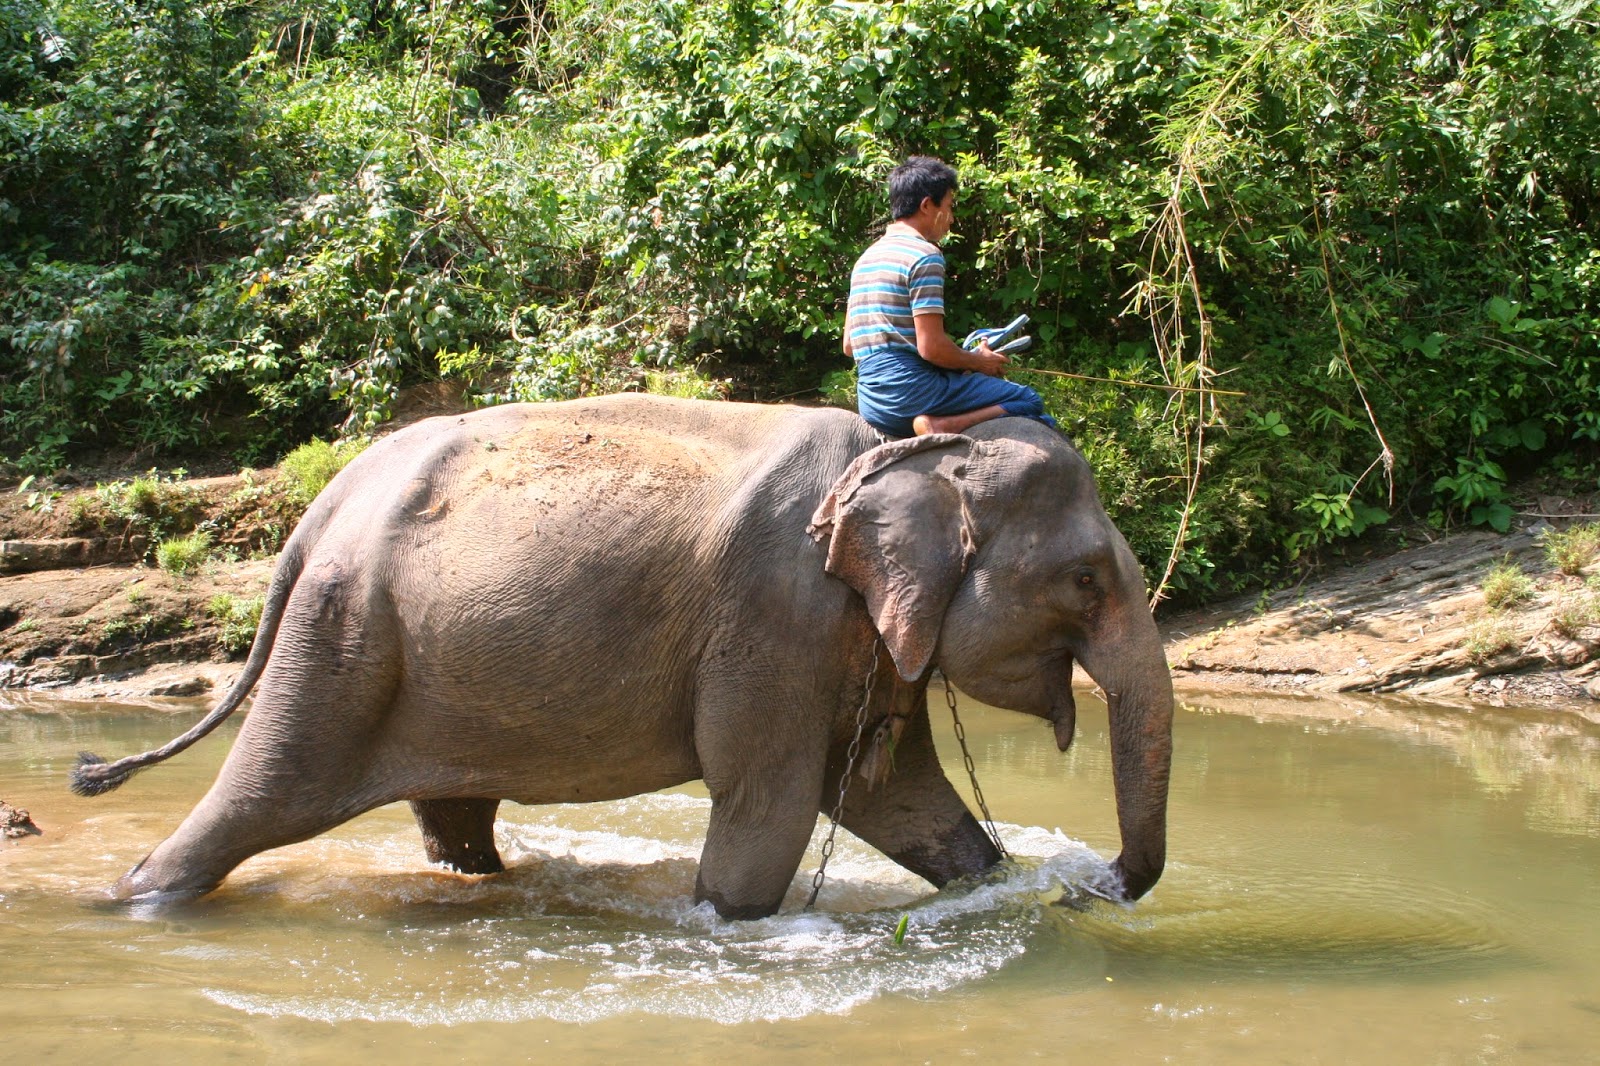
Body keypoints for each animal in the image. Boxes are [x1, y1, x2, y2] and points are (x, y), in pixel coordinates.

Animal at [72, 394, 1174, 919]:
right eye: (1085, 579)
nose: (1095, 880)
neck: (904, 449)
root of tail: (321, 506)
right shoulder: (776, 619)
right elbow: (767, 811)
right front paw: (728, 923)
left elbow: (898, 801)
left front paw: (996, 888)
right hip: (340, 642)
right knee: (259, 800)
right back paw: (133, 897)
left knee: (453, 820)